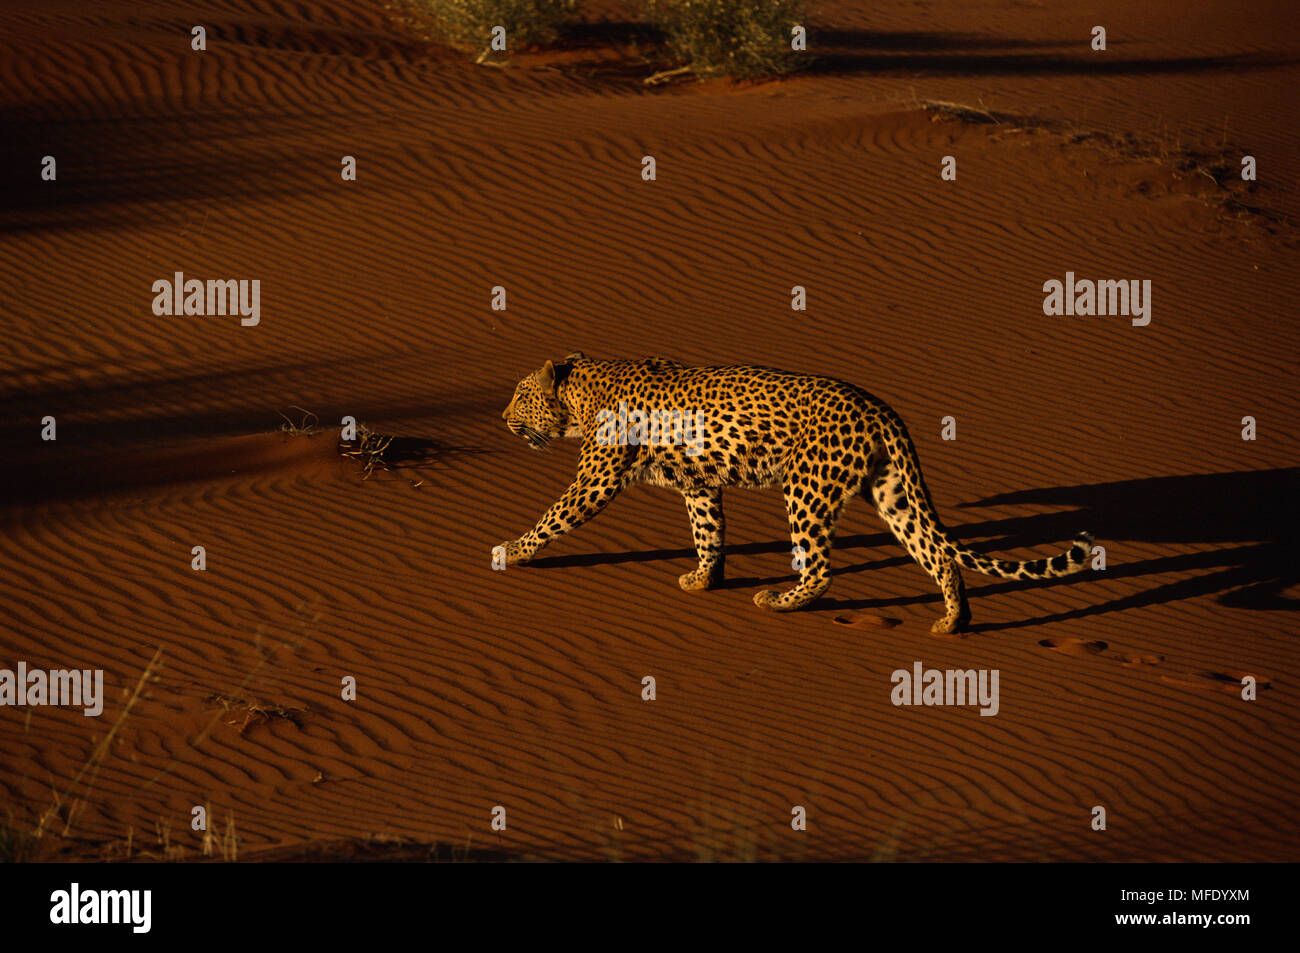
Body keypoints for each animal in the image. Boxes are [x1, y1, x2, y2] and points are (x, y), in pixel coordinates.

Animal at [495, 352, 1092, 634]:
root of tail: (881, 409)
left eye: (522, 395)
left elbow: (552, 516)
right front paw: (703, 579)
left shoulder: (595, 479)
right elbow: (708, 533)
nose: (501, 419)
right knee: (936, 552)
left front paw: (510, 552)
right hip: (891, 492)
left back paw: (779, 601)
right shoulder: (699, 485)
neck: (581, 393)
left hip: (807, 488)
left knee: (821, 567)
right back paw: (953, 622)